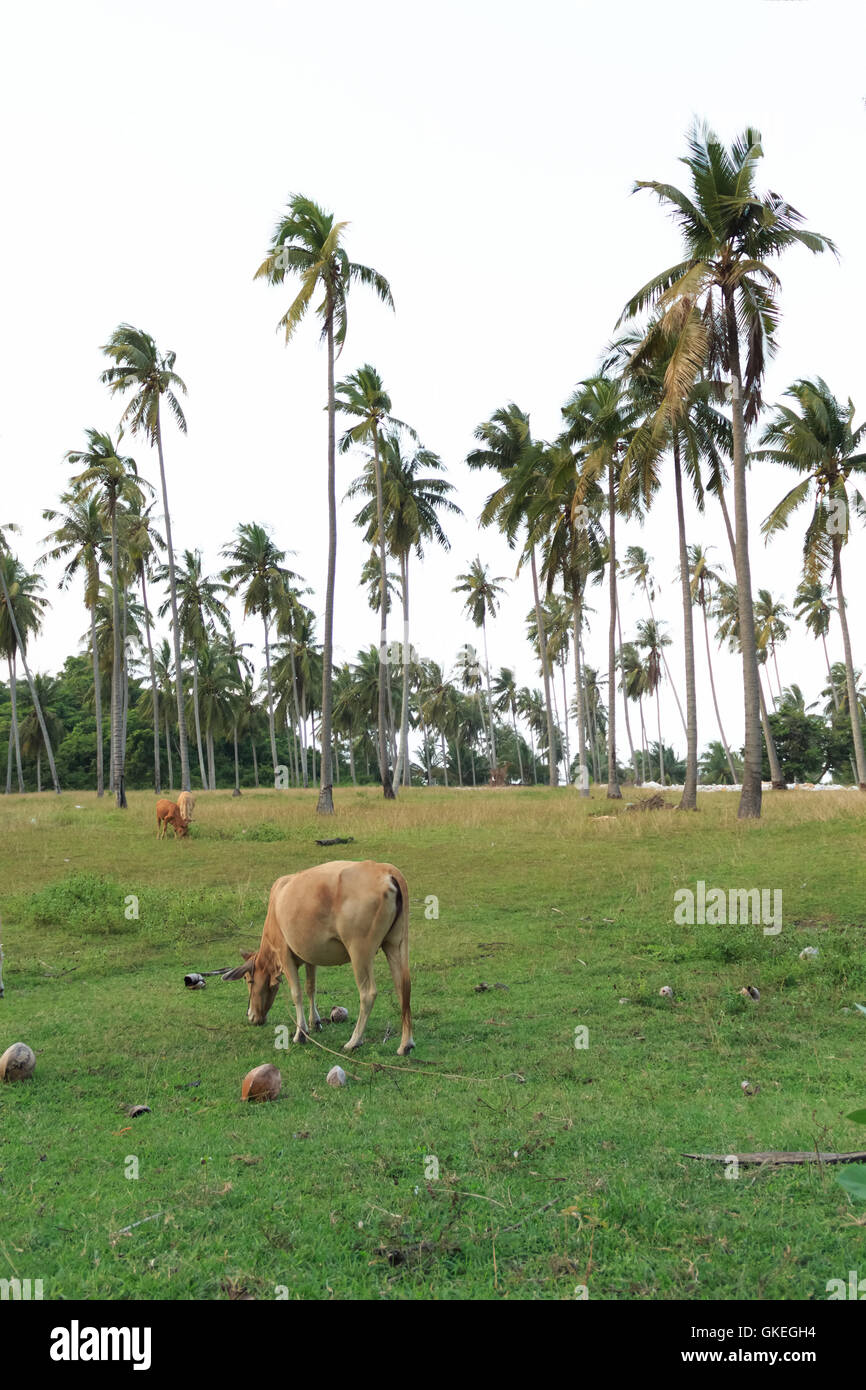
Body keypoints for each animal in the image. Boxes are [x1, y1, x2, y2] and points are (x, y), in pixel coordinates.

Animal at [222, 860, 414, 1055]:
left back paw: (354, 1041)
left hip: (360, 950)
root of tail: (386, 870)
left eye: (248, 980)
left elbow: (296, 993)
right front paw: (315, 1022)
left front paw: (301, 1033)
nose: (251, 1016)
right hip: (396, 943)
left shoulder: (284, 952)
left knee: (368, 993)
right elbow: (310, 988)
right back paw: (406, 1044)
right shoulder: (310, 955)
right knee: (403, 988)